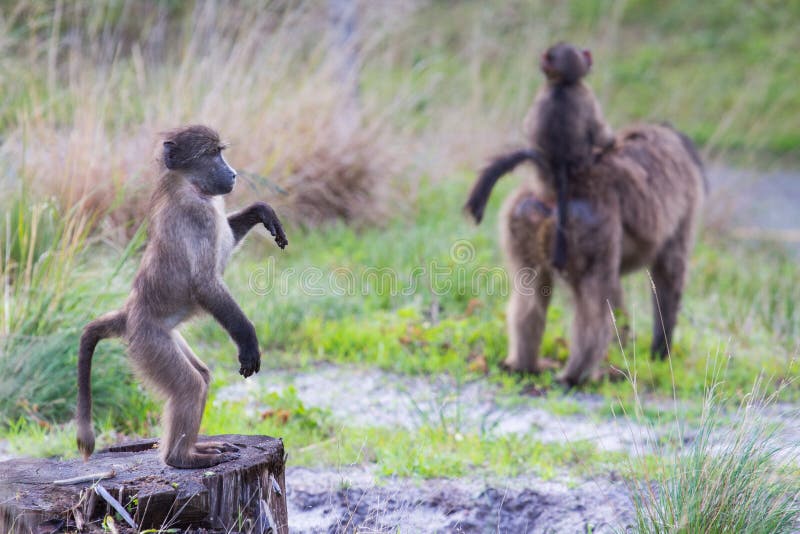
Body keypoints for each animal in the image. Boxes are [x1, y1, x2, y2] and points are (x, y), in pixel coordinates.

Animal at [76, 125, 288, 468]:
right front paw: (248, 342)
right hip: (149, 341)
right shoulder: (198, 215)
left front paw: (263, 212)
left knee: (200, 376)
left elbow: (227, 240)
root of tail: (129, 313)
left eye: (220, 151)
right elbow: (204, 282)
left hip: (163, 337)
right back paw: (182, 458)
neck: (188, 185)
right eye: (212, 154)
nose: (233, 174)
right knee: (189, 385)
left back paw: (195, 449)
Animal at [465, 42, 614, 270]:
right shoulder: (586, 95)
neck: (560, 84)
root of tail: (557, 171)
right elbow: (601, 135)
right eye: (578, 51)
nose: (587, 53)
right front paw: (613, 142)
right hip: (585, 164)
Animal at [468, 123, 706, 386]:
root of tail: (553, 186)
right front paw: (659, 354)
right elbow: (669, 276)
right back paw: (576, 376)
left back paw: (525, 367)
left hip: (524, 215)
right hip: (589, 228)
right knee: (595, 310)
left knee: (531, 295)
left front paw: (627, 350)